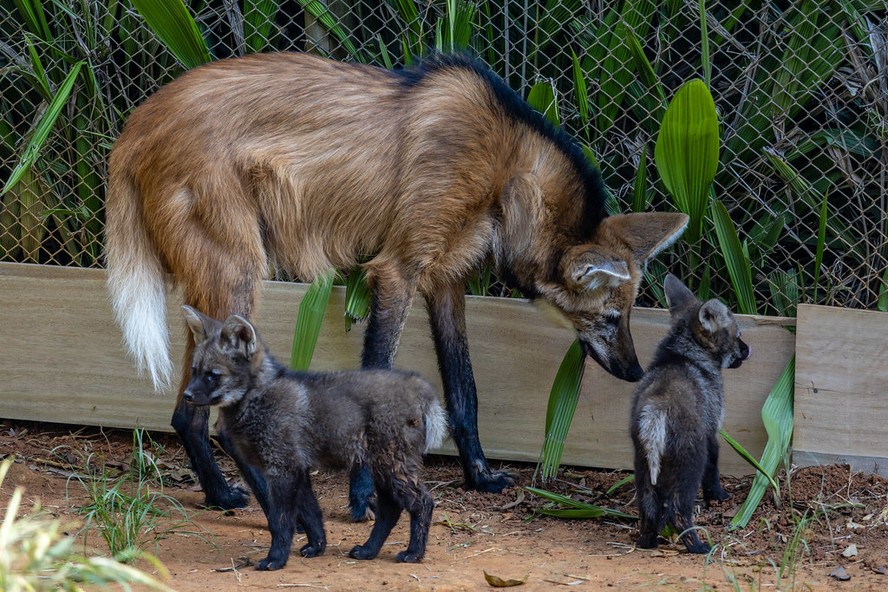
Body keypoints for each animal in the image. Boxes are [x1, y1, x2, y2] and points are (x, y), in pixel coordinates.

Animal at [105, 51, 688, 517]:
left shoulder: (446, 279)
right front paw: (365, 497)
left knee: (185, 412)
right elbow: (378, 375)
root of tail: (136, 123)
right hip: (239, 273)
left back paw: (221, 493)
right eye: (610, 318)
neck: (506, 174)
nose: (635, 370)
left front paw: (479, 476)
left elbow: (464, 389)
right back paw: (246, 497)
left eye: (627, 316)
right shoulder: (397, 270)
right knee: (208, 414)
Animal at [181, 305, 446, 570]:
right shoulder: (298, 469)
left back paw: (413, 553)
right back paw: (368, 550)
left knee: (423, 502)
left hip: (391, 465)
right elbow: (311, 515)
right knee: (391, 508)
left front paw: (275, 559)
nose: (186, 395)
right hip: (380, 467)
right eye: (194, 371)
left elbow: (281, 521)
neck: (255, 397)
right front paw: (317, 547)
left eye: (213, 375)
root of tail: (420, 385)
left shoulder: (282, 468)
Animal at [630, 274, 750, 554]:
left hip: (643, 466)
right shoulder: (712, 431)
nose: (748, 350)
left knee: (649, 510)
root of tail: (656, 409)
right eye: (738, 335)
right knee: (677, 510)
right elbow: (714, 470)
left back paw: (648, 543)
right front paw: (719, 496)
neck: (684, 356)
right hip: (690, 463)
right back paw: (699, 546)